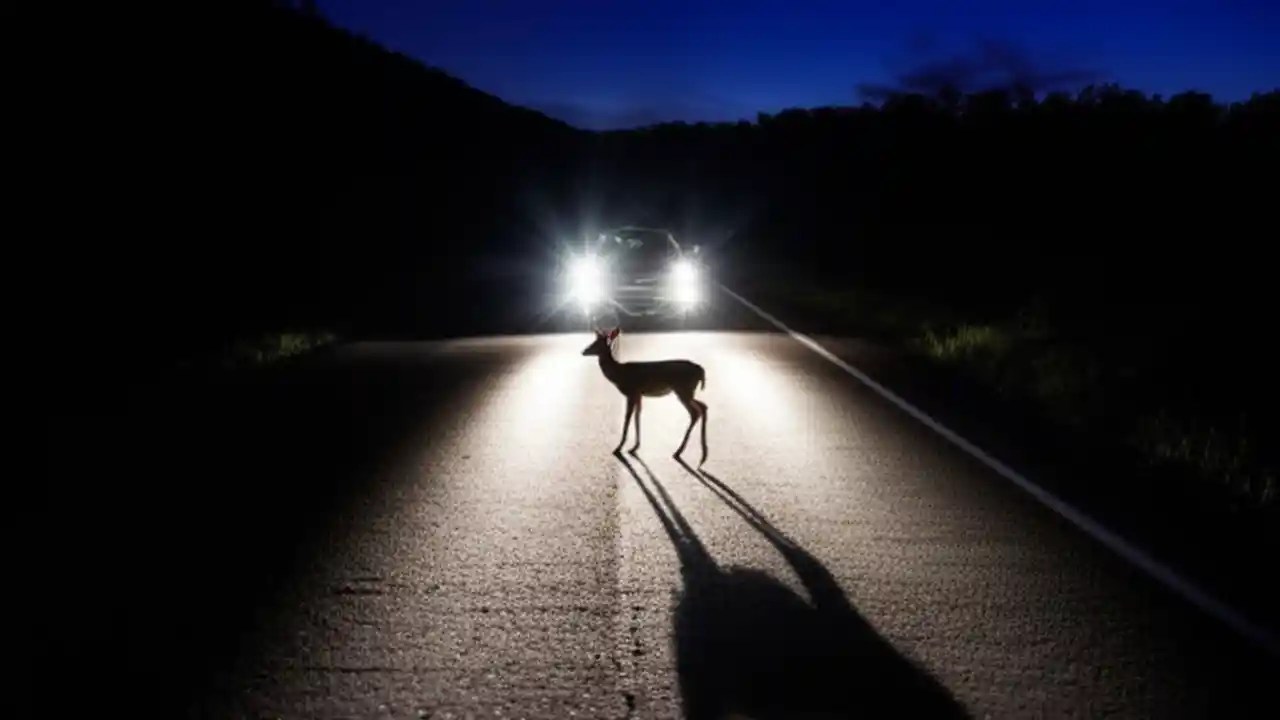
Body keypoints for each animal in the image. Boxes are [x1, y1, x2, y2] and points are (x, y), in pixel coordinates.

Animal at [582, 327, 709, 465]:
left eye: (597, 344)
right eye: (594, 341)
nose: (583, 351)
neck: (619, 374)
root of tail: (701, 370)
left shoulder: (631, 393)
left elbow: (627, 419)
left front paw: (618, 448)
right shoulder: (639, 395)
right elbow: (637, 417)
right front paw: (634, 447)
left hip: (683, 389)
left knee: (695, 412)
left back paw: (680, 451)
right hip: (687, 391)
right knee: (703, 406)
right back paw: (703, 455)